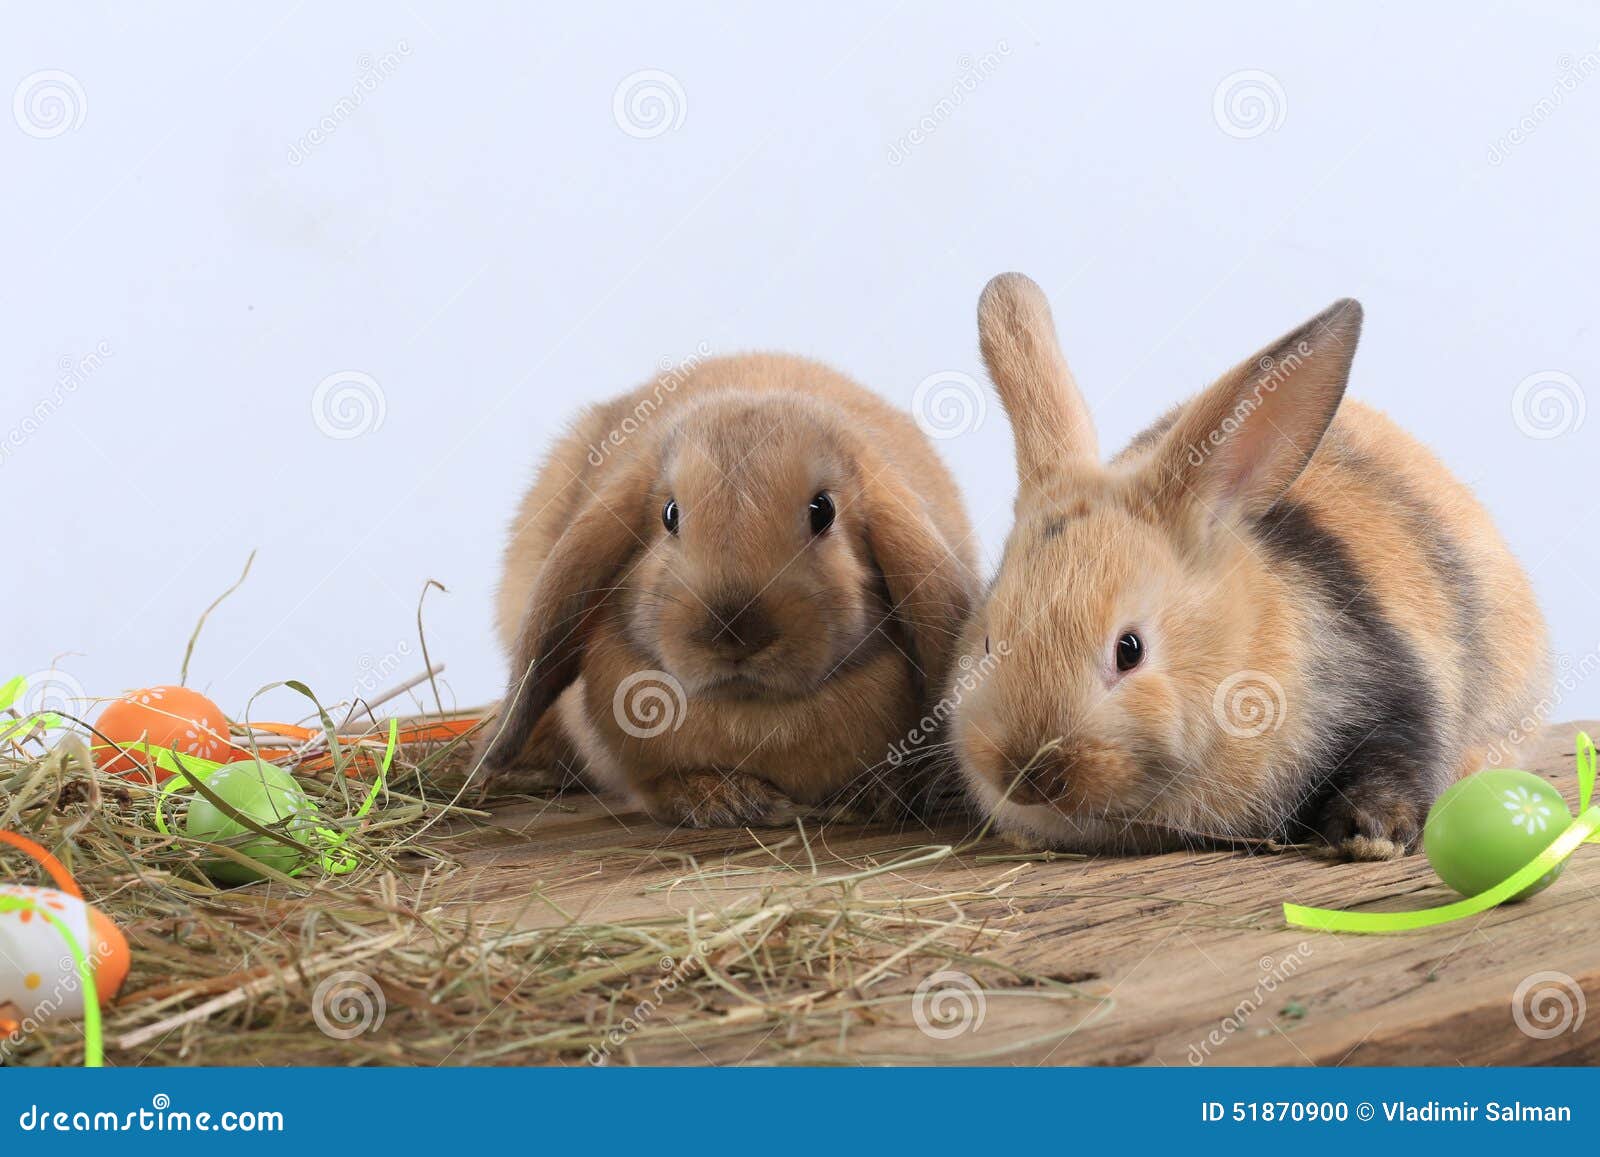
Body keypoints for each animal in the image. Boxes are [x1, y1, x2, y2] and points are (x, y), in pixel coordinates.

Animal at [479, 351, 979, 827]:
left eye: (823, 510)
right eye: (670, 514)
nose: (736, 636)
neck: (752, 712)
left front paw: (874, 795)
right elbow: (660, 787)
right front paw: (725, 799)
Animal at [949, 273, 1549, 860]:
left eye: (1130, 650)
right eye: (987, 644)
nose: (1027, 775)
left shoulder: (1396, 697)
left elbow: (1395, 759)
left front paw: (1370, 836)